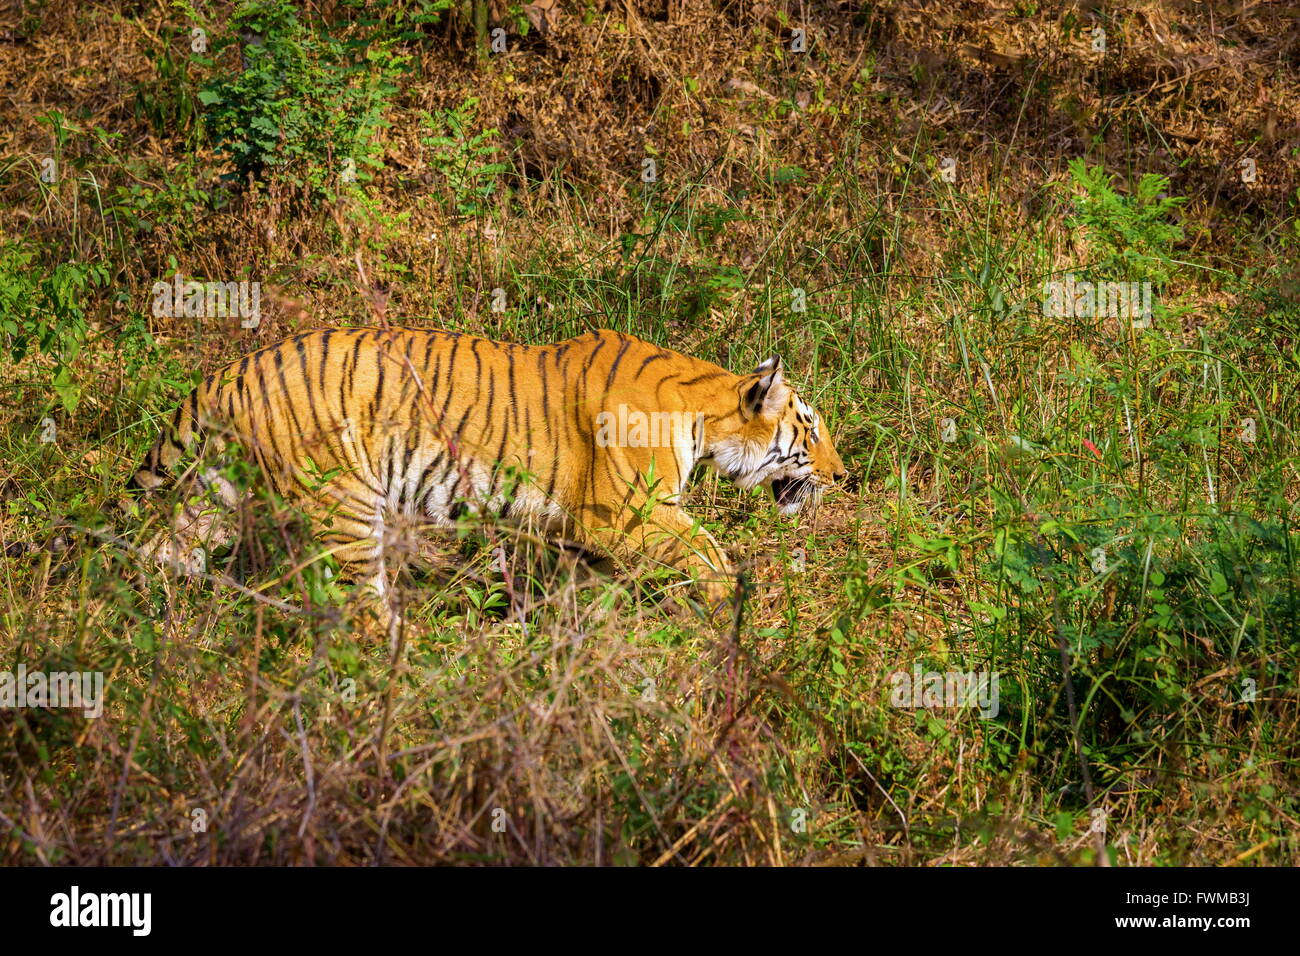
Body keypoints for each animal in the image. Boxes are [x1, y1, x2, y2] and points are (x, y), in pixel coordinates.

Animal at [130, 327, 847, 622]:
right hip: (347, 510)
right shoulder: (623, 514)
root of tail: (237, 368)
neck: (704, 412)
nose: (845, 477)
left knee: (161, 547)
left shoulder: (585, 534)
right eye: (810, 429)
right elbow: (709, 548)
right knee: (359, 612)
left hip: (218, 494)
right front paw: (727, 608)